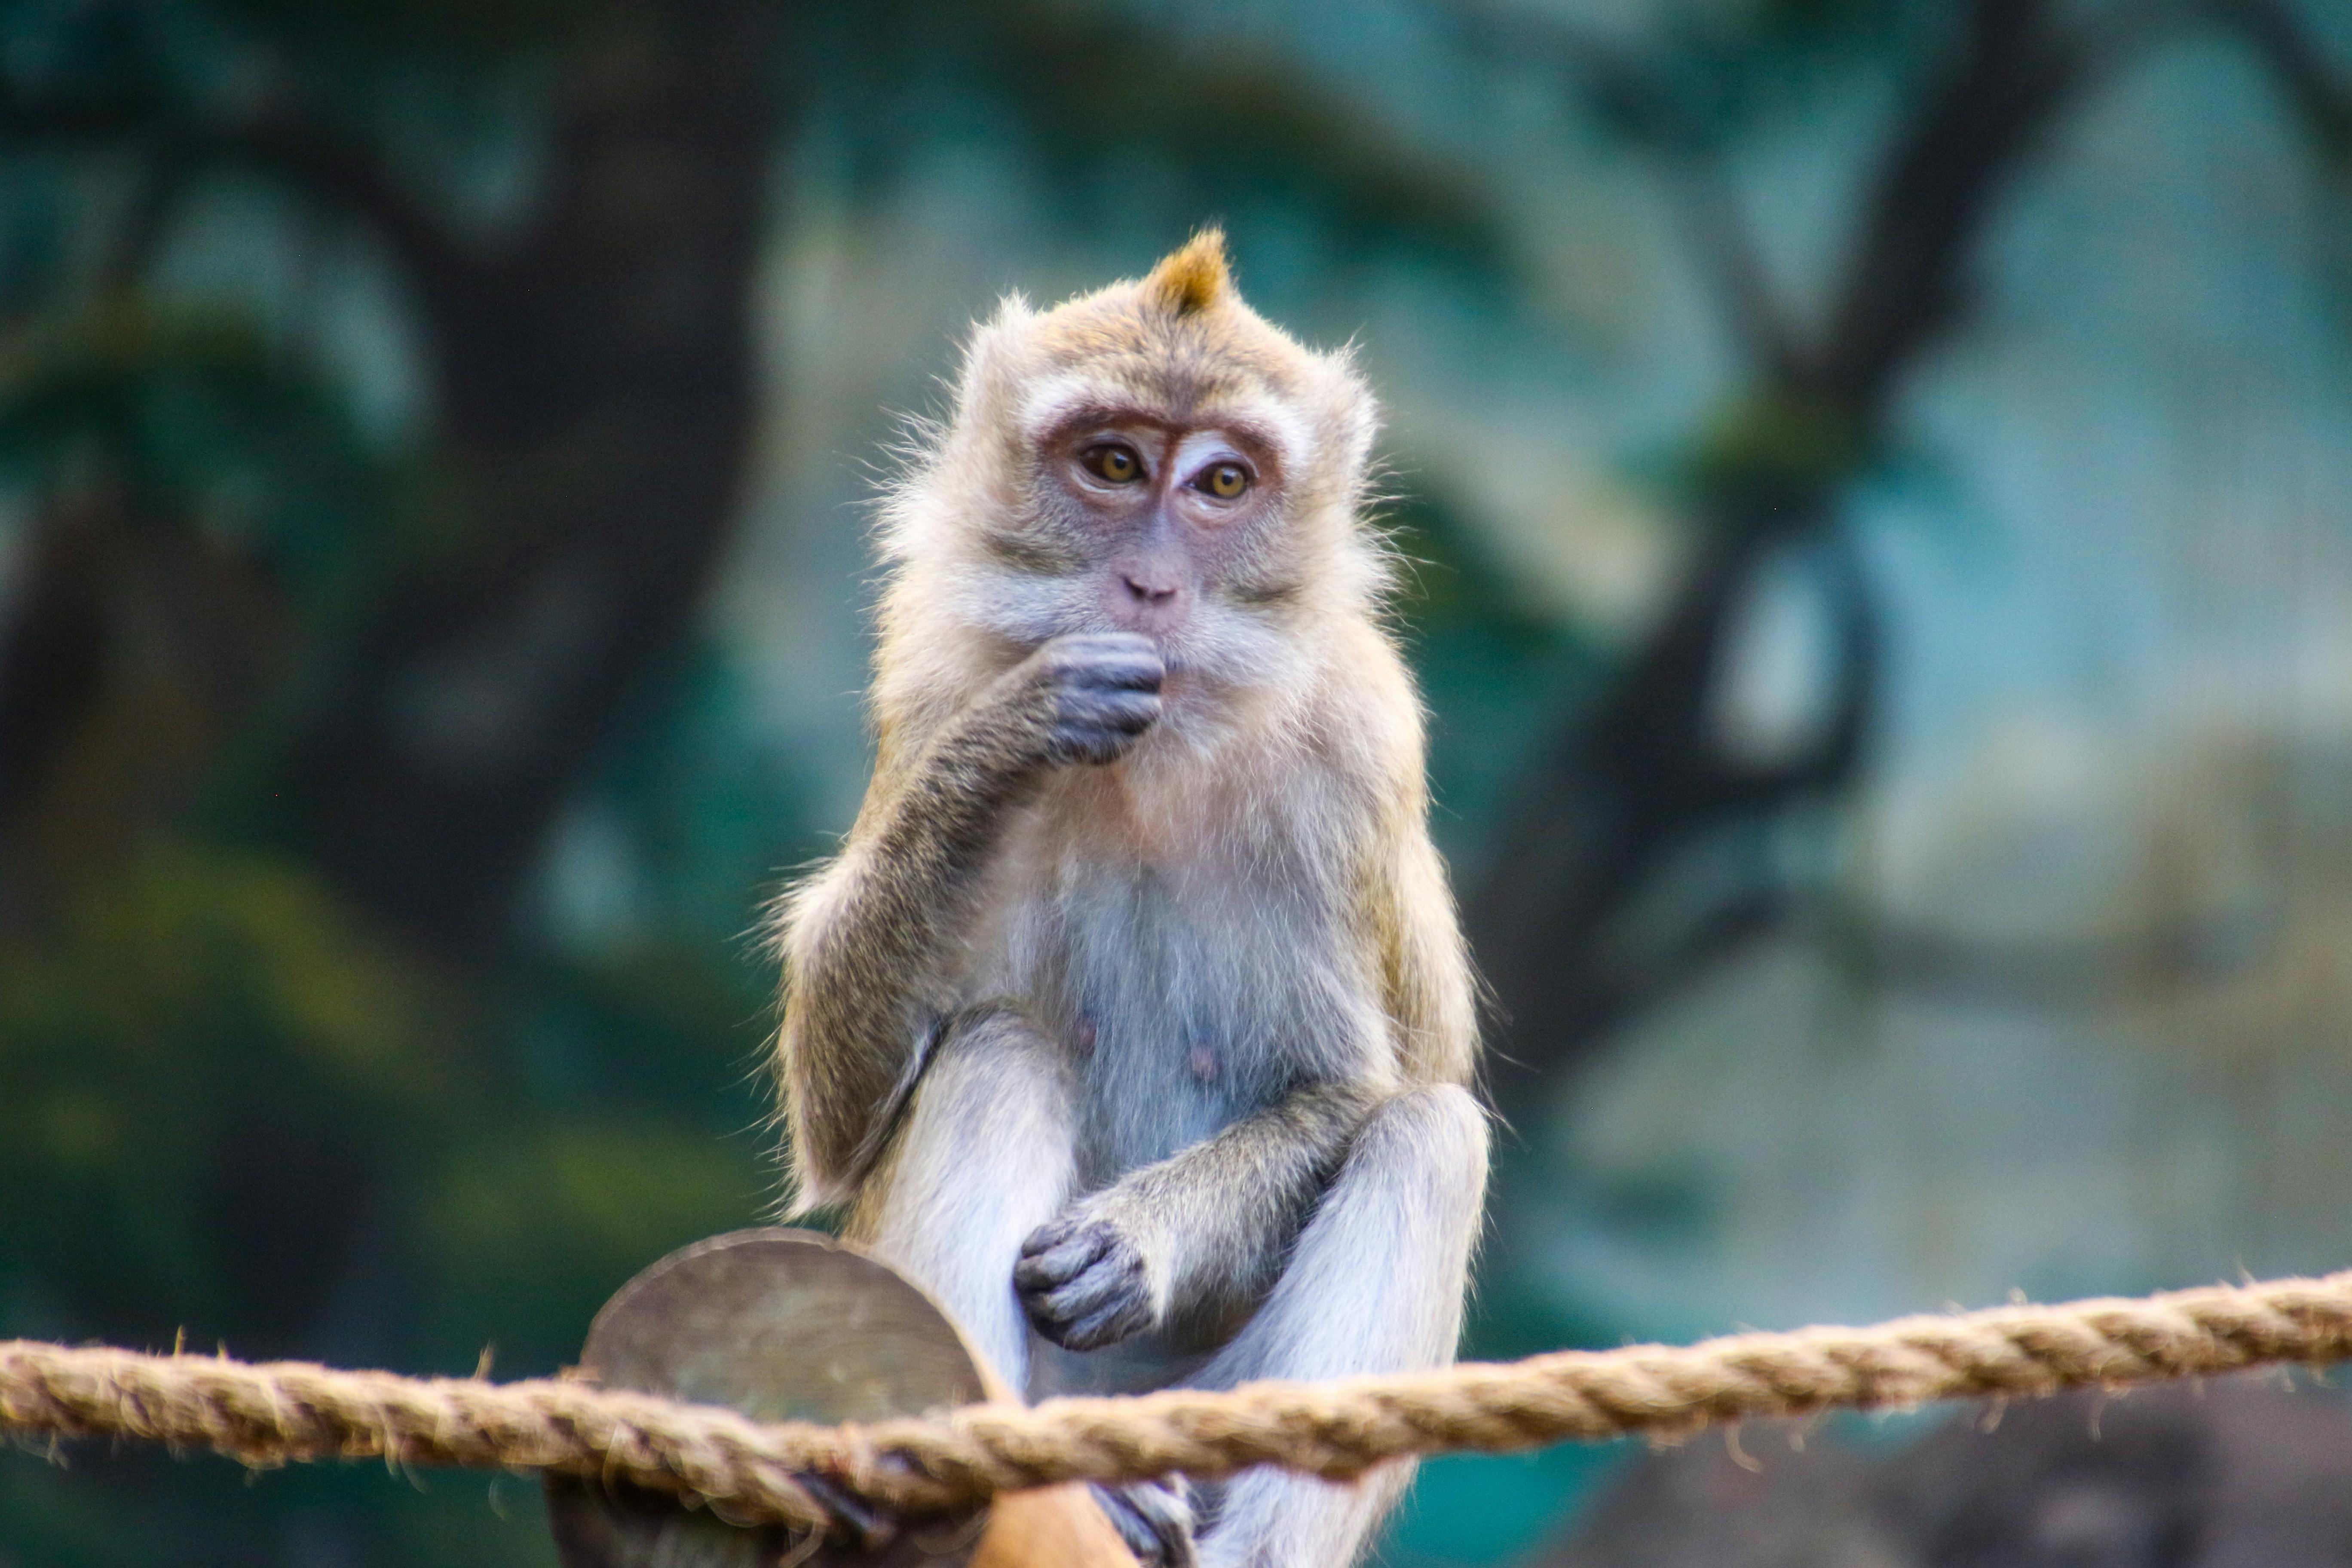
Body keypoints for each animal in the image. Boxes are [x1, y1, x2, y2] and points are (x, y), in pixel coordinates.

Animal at [770, 230, 1488, 1568]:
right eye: (1113, 464)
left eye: (1222, 484)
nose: (1150, 587)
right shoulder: (929, 674)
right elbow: (838, 1126)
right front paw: (1019, 730)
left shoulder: (1355, 758)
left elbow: (1349, 1093)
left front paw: (1136, 1245)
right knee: (996, 1052)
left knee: (1431, 1138)